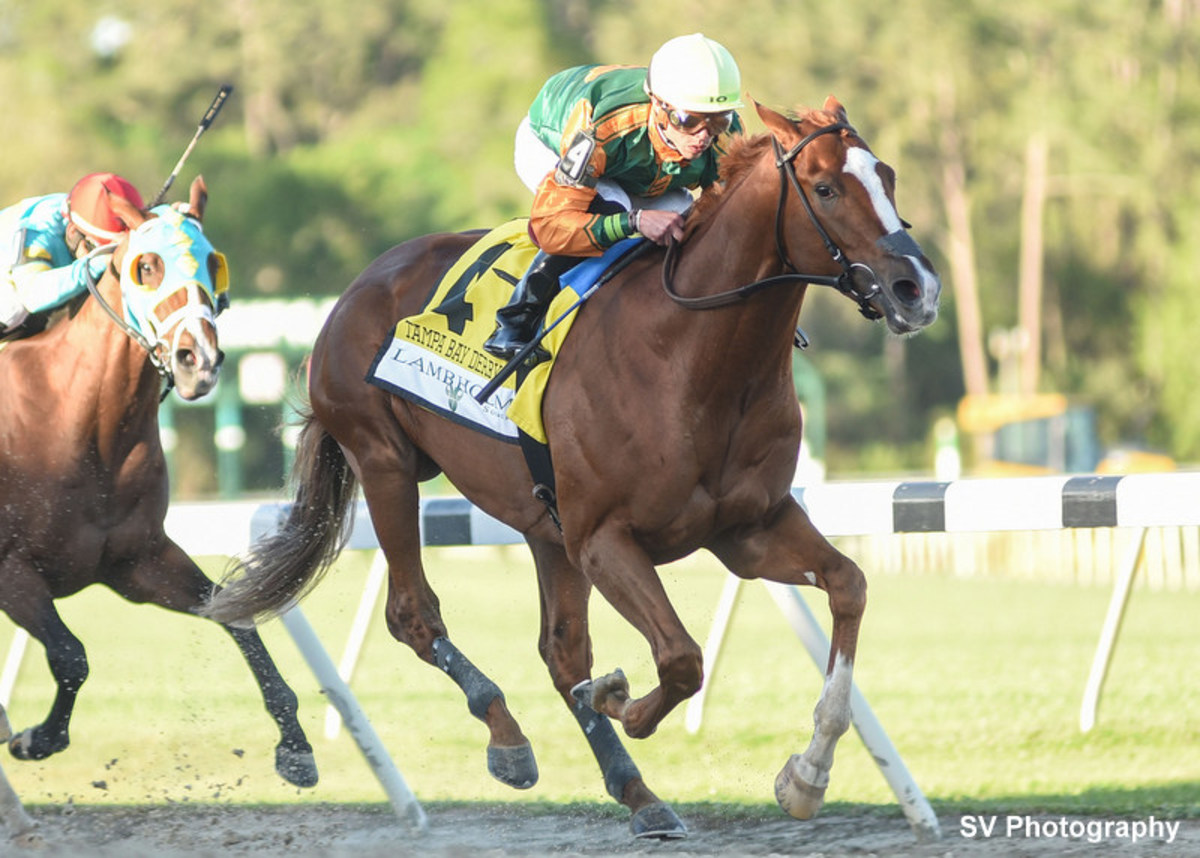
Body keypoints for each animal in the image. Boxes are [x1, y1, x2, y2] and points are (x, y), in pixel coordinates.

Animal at [0, 177, 317, 789]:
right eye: (146, 266)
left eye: (214, 262)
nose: (199, 360)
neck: (79, 423)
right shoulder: (11, 570)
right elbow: (72, 655)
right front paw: (37, 737)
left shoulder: (139, 561)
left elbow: (232, 615)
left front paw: (295, 746)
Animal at [206, 98, 941, 836]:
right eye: (824, 188)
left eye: (888, 175)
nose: (918, 288)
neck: (690, 357)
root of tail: (357, 286)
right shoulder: (605, 538)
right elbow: (680, 660)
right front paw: (617, 695)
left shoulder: (746, 528)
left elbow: (848, 586)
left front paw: (806, 774)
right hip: (385, 463)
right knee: (415, 614)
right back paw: (509, 738)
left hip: (543, 525)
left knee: (560, 652)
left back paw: (637, 792)